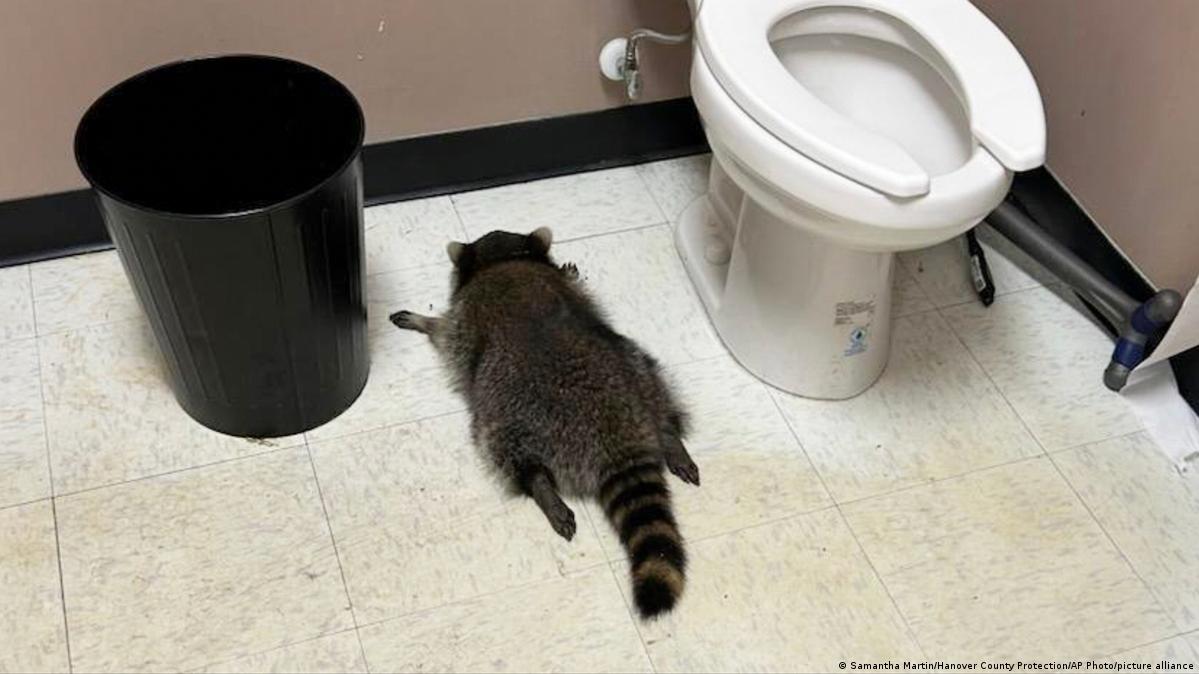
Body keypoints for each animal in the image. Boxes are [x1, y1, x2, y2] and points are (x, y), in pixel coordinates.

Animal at [389, 227, 700, 619]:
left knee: (504, 449)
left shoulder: (463, 320)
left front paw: (423, 321)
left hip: (510, 413)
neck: (505, 259)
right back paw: (670, 435)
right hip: (636, 367)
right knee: (655, 384)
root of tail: (616, 435)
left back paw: (540, 485)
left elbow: (444, 331)